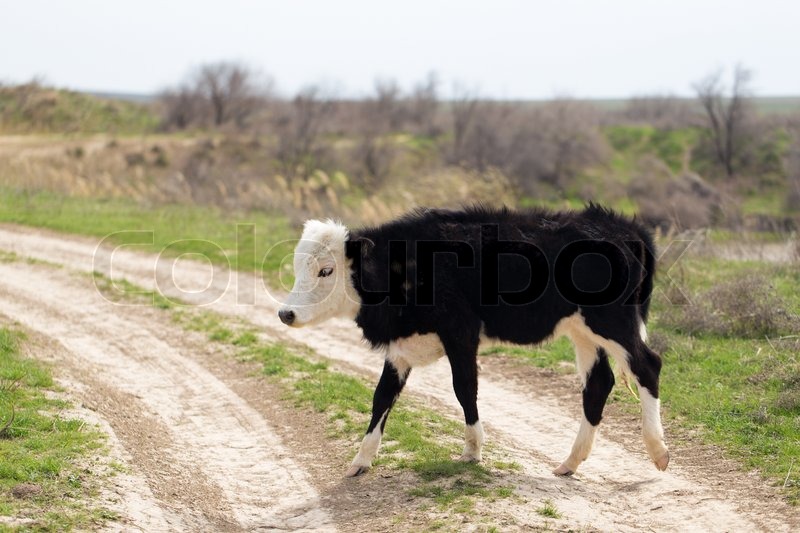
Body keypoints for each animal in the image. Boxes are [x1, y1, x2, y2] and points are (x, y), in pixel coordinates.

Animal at [278, 205, 669, 478]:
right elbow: (381, 398)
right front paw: (361, 461)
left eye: (326, 270)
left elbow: (464, 387)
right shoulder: (401, 346)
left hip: (612, 321)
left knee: (648, 365)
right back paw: (570, 463)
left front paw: (472, 451)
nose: (286, 313)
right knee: (599, 383)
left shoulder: (460, 332)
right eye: (298, 268)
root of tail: (623, 227)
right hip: (582, 331)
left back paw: (658, 451)